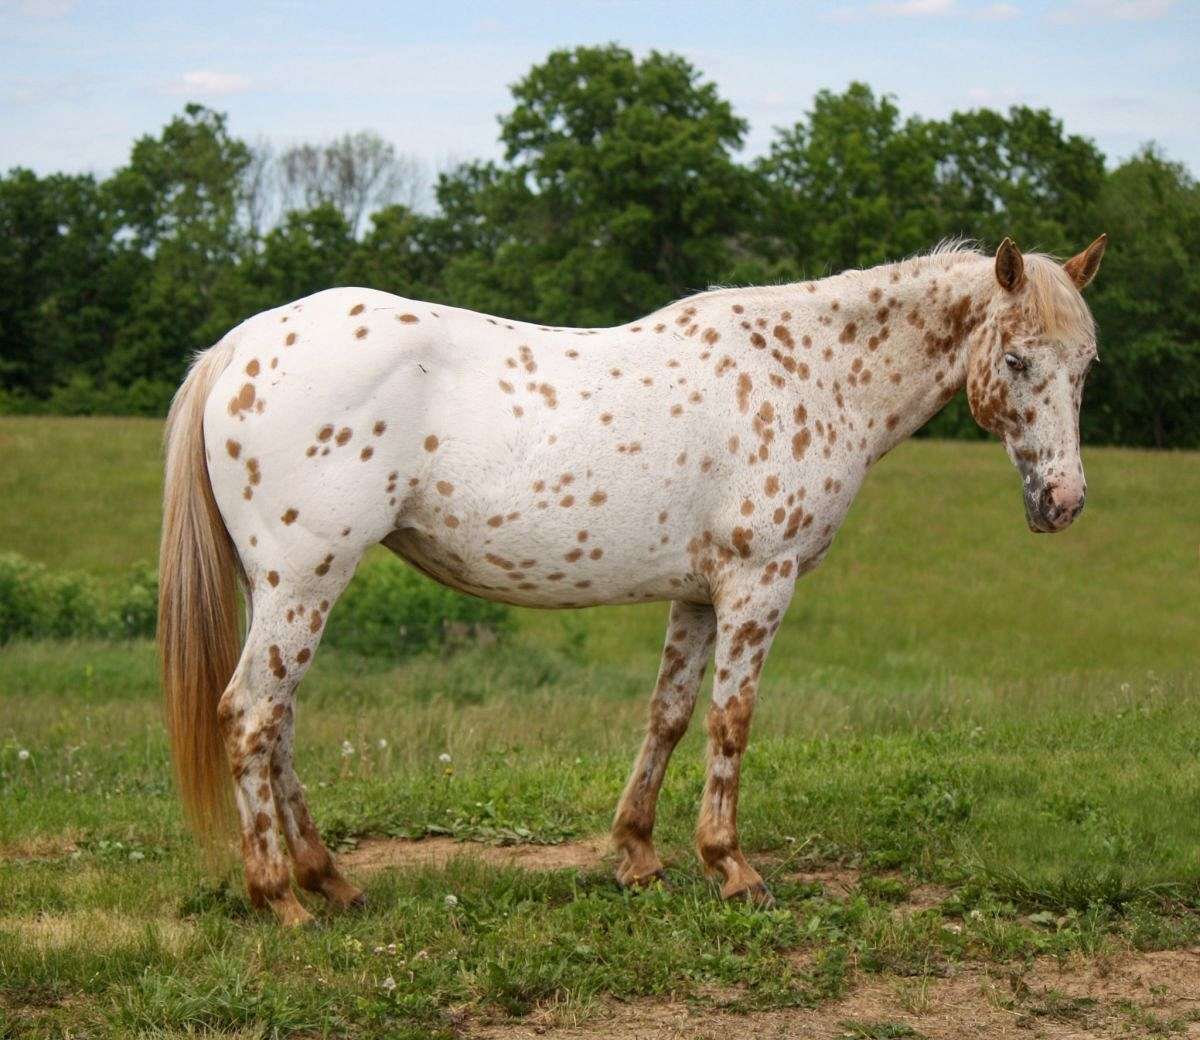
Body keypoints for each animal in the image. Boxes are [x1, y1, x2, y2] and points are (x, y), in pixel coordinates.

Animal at [159, 234, 1107, 925]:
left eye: (1085, 365)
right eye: (1017, 361)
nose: (1063, 501)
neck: (812, 372)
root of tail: (239, 348)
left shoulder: (697, 593)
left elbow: (670, 716)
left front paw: (641, 856)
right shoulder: (760, 582)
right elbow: (731, 721)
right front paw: (732, 868)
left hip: (283, 587)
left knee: (279, 723)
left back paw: (332, 882)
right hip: (305, 581)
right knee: (250, 717)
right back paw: (281, 901)